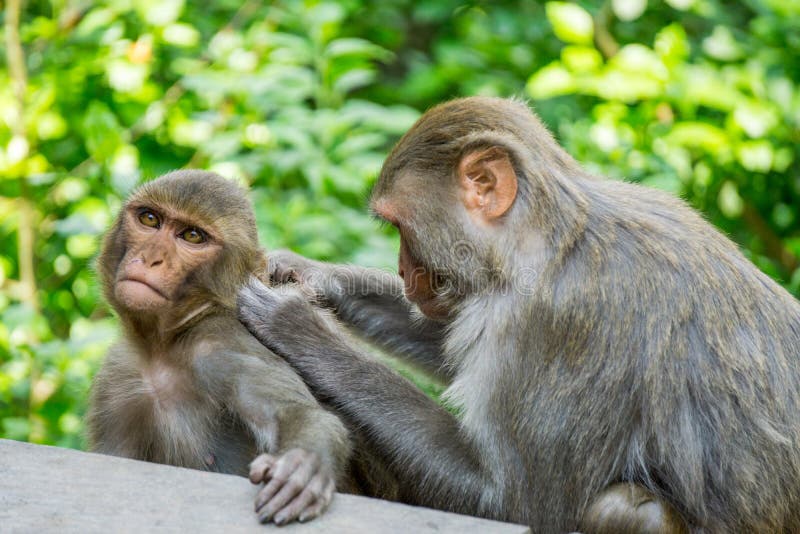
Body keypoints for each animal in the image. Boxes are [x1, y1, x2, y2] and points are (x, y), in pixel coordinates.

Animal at [86, 170, 352, 526]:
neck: (164, 347)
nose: (151, 257)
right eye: (149, 219)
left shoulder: (223, 344)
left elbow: (298, 414)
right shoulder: (117, 380)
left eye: (193, 236)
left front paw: (303, 461)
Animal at [236, 97, 800, 532]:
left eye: (399, 227)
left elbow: (517, 503)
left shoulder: (560, 322)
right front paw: (307, 274)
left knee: (625, 509)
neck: (546, 245)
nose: (403, 271)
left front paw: (298, 326)